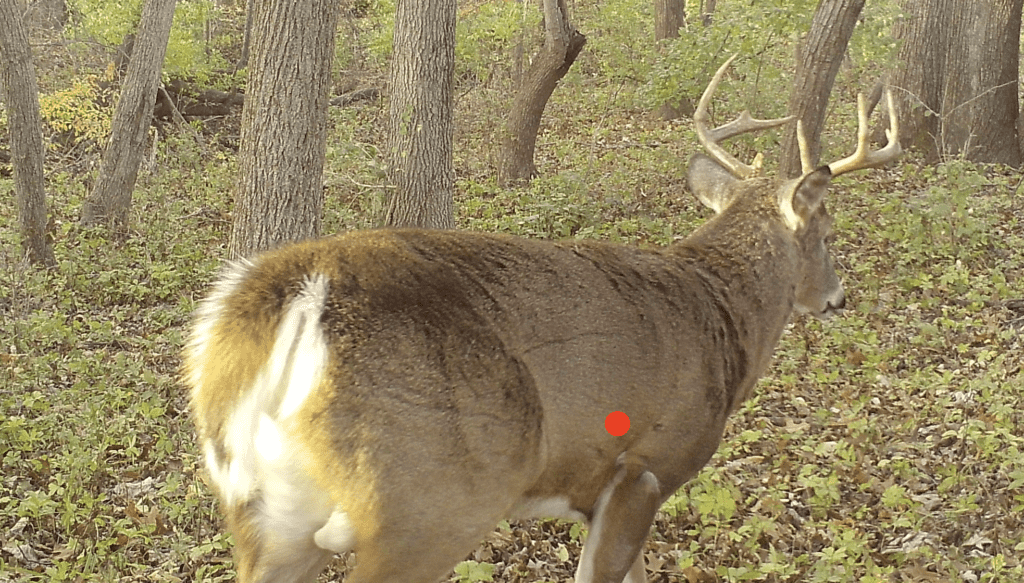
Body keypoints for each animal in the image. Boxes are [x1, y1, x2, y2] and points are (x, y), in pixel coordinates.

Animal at [183, 56, 901, 583]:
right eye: (829, 233)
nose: (837, 297)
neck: (725, 315)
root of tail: (294, 300)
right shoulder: (645, 464)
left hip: (265, 516)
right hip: (425, 502)